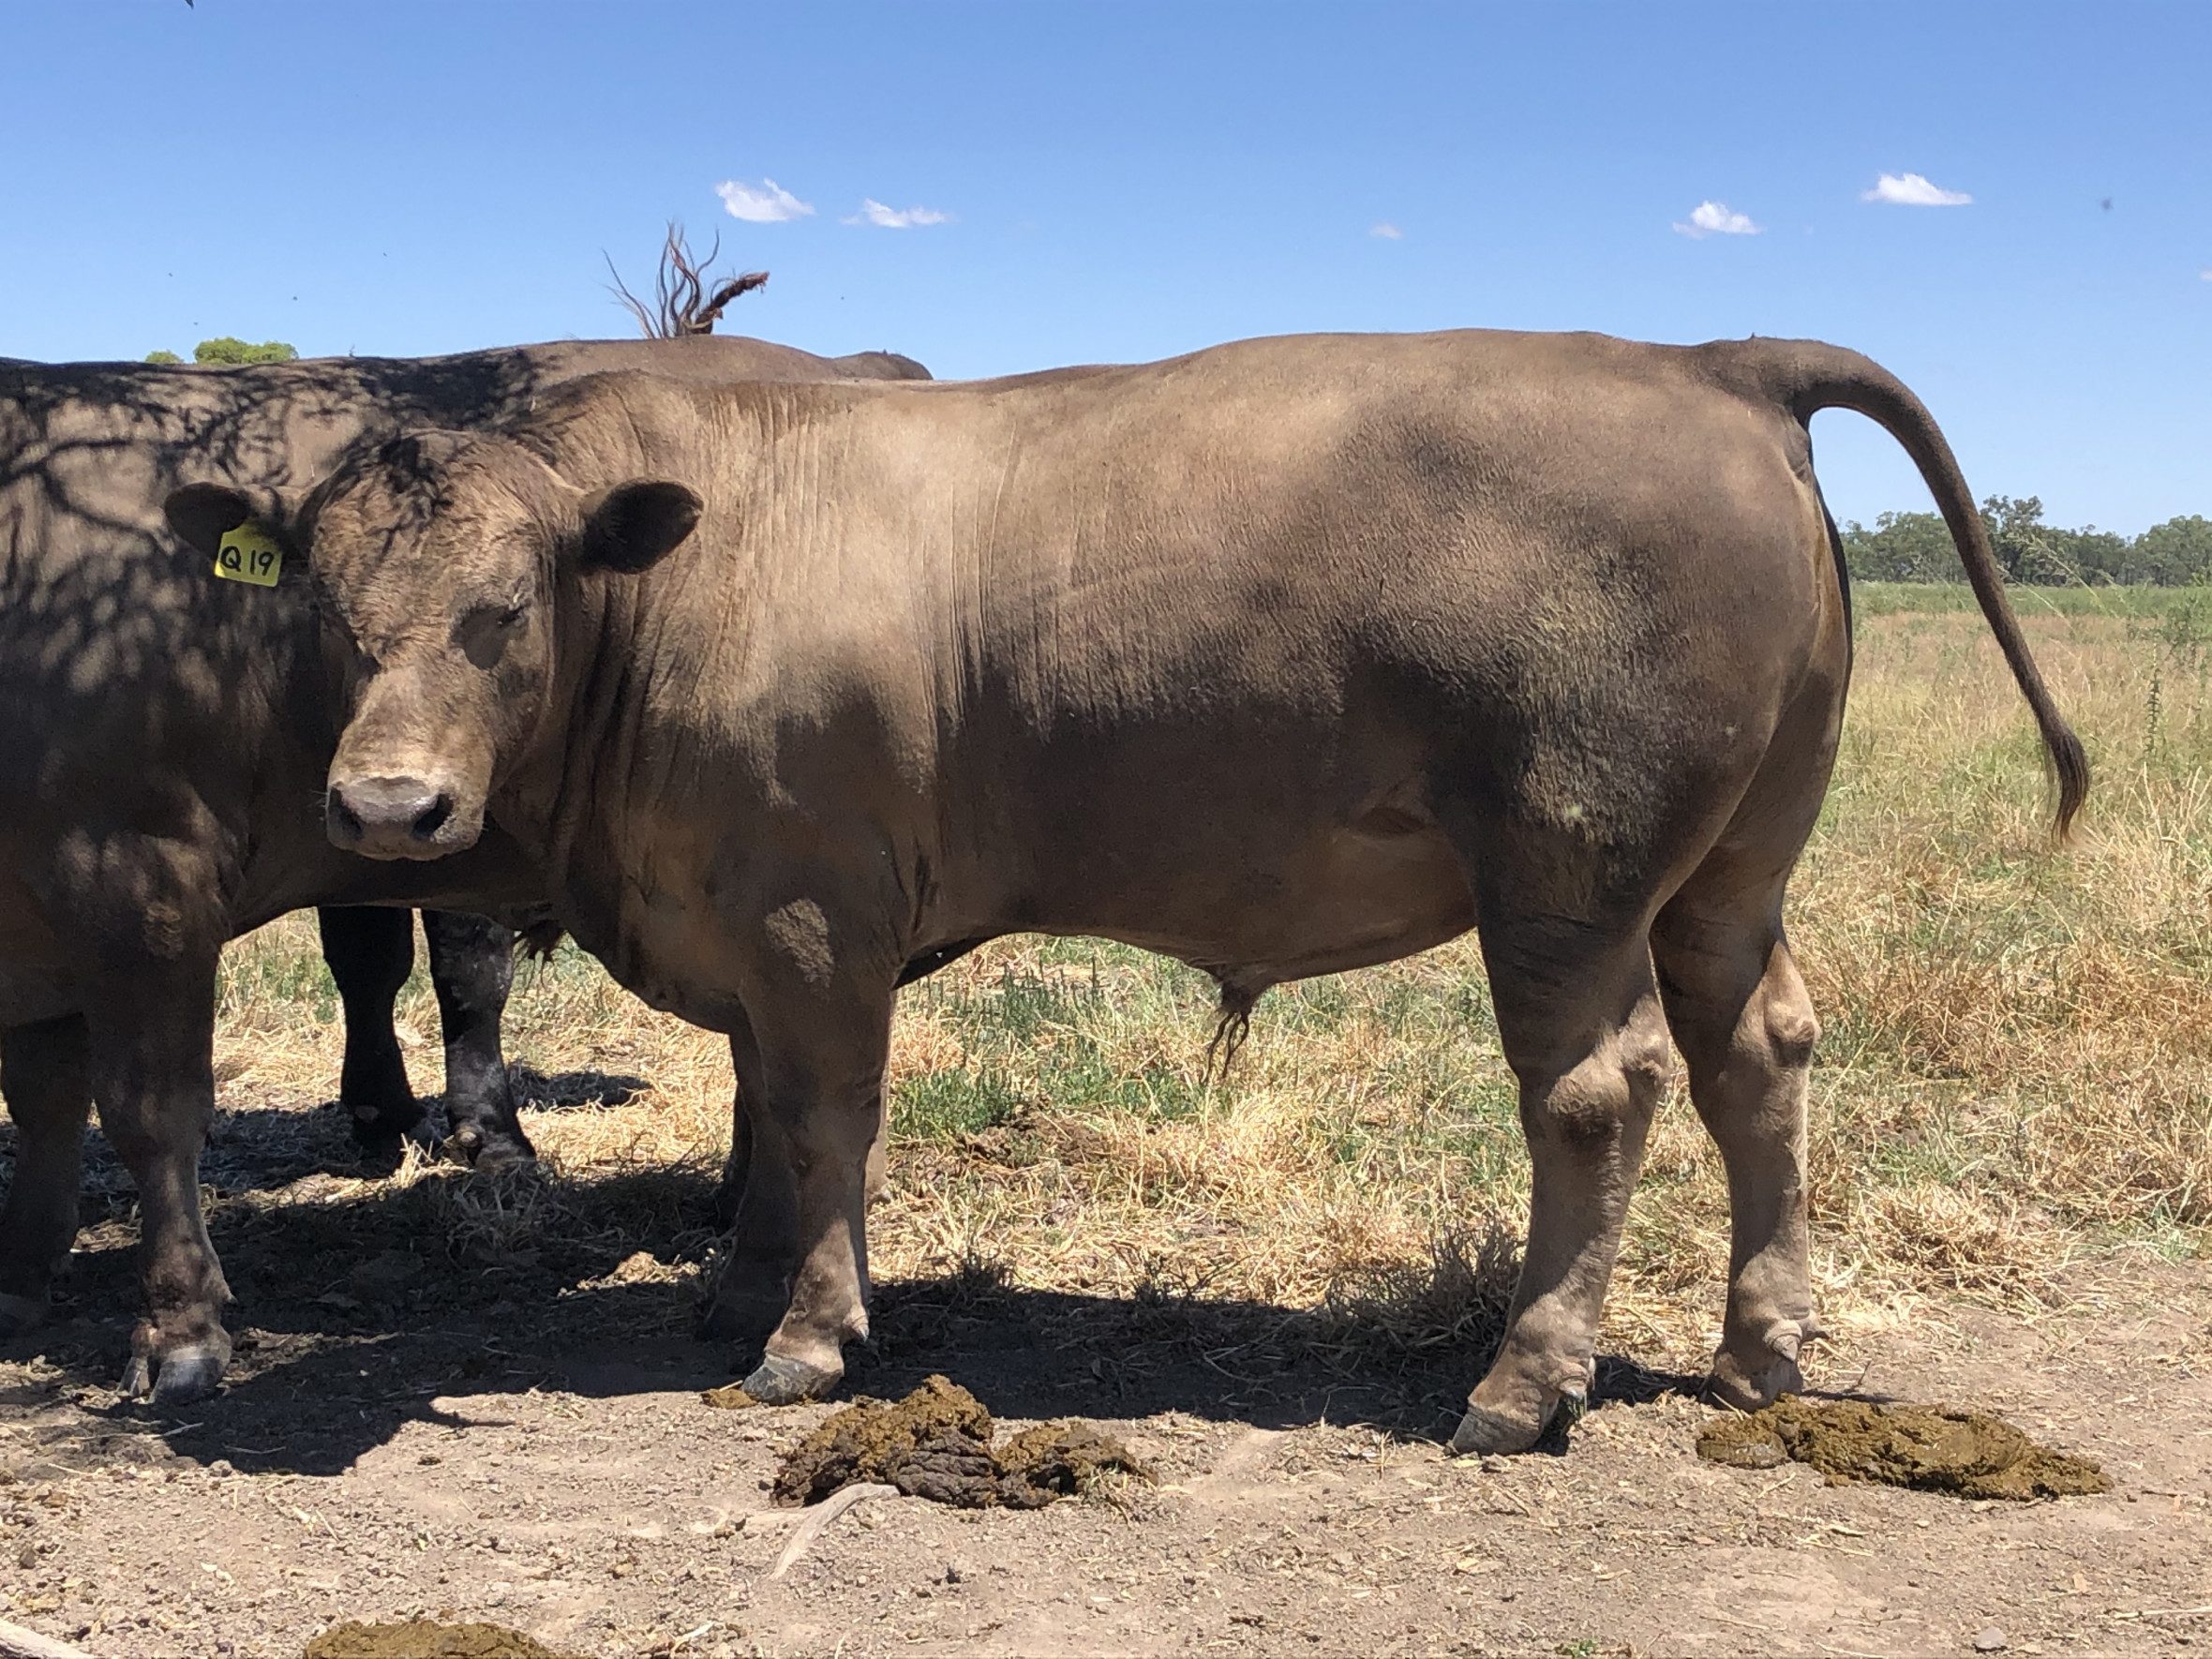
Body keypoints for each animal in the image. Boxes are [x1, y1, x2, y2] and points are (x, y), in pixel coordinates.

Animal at [1, 333, 930, 1403]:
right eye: (322, 612)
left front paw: (179, 1329)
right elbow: (44, 1099)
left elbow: (151, 1114)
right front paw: (23, 1276)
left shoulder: (143, 879)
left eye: (508, 615)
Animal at [204, 328, 2086, 1454]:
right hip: (1727, 877)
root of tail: (1715, 363)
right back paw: (1760, 1352)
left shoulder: (819, 913)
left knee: (1594, 1094)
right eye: (335, 615)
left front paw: (807, 1334)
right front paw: (735, 1288)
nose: (387, 803)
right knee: (1756, 1057)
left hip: (1568, 878)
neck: (691, 564)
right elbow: (763, 1114)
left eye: (507, 607)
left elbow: (820, 1116)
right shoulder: (746, 912)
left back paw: (1522, 1381)